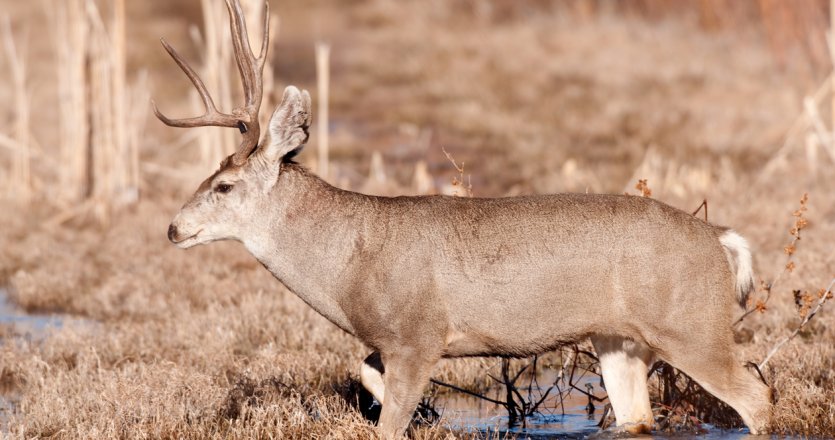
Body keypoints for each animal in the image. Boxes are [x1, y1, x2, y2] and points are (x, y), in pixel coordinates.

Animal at [153, 1, 772, 438]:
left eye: (224, 185)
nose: (174, 228)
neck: (349, 259)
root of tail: (719, 238)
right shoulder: (391, 345)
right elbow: (367, 376)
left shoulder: (416, 335)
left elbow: (388, 425)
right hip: (618, 337)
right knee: (637, 418)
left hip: (690, 325)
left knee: (758, 399)